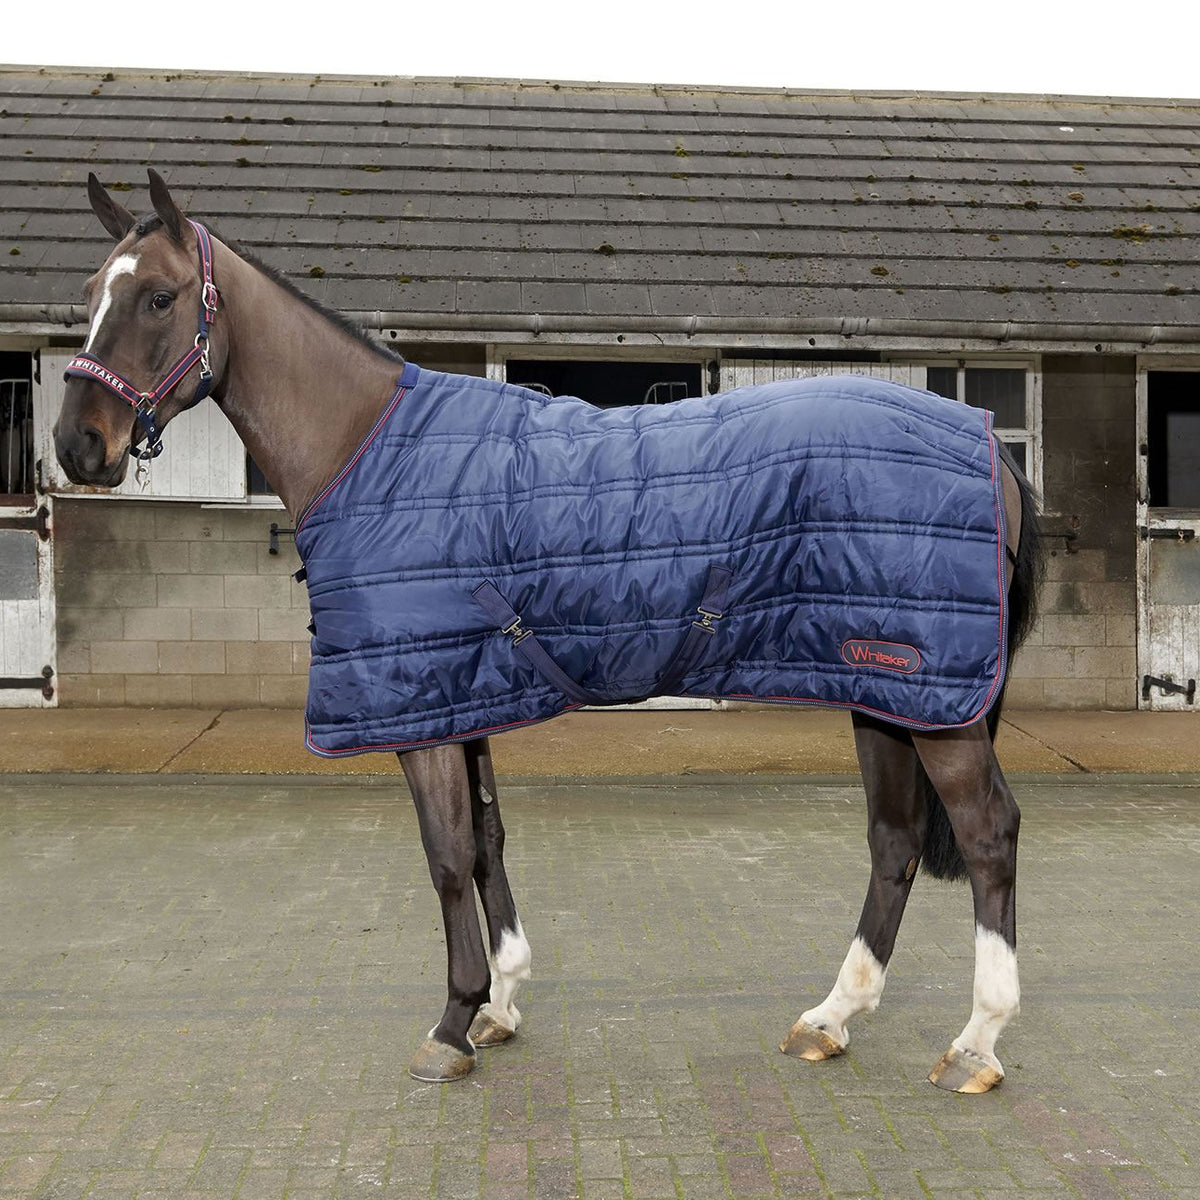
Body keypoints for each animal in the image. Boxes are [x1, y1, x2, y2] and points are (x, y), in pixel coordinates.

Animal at [54, 170, 1043, 1094]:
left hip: (935, 704)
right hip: (883, 693)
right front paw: (500, 1003)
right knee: (895, 842)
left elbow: (447, 856)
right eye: (91, 290)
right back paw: (831, 1018)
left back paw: (977, 1042)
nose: (78, 446)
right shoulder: (461, 697)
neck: (369, 450)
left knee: (987, 832)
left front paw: (452, 1023)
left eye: (159, 297)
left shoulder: (423, 710)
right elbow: (488, 844)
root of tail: (988, 443)